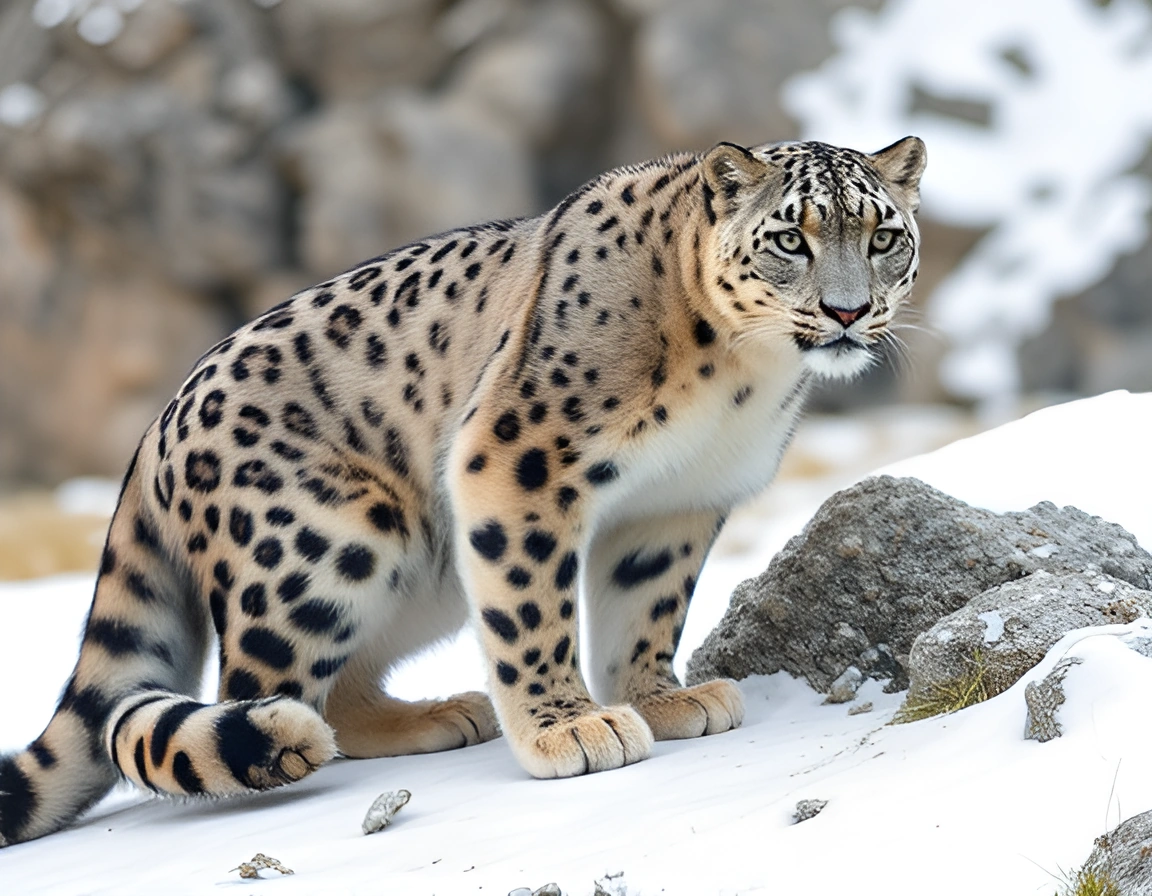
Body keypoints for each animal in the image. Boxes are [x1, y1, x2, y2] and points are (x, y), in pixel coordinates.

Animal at [0, 135, 925, 846]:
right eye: (791, 239)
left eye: (884, 235)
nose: (847, 312)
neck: (742, 380)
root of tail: (152, 431)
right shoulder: (524, 458)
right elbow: (531, 605)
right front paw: (571, 729)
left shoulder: (677, 501)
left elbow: (647, 607)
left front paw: (662, 699)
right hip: (327, 540)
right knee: (258, 689)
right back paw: (309, 742)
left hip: (420, 574)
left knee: (338, 689)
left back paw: (441, 714)